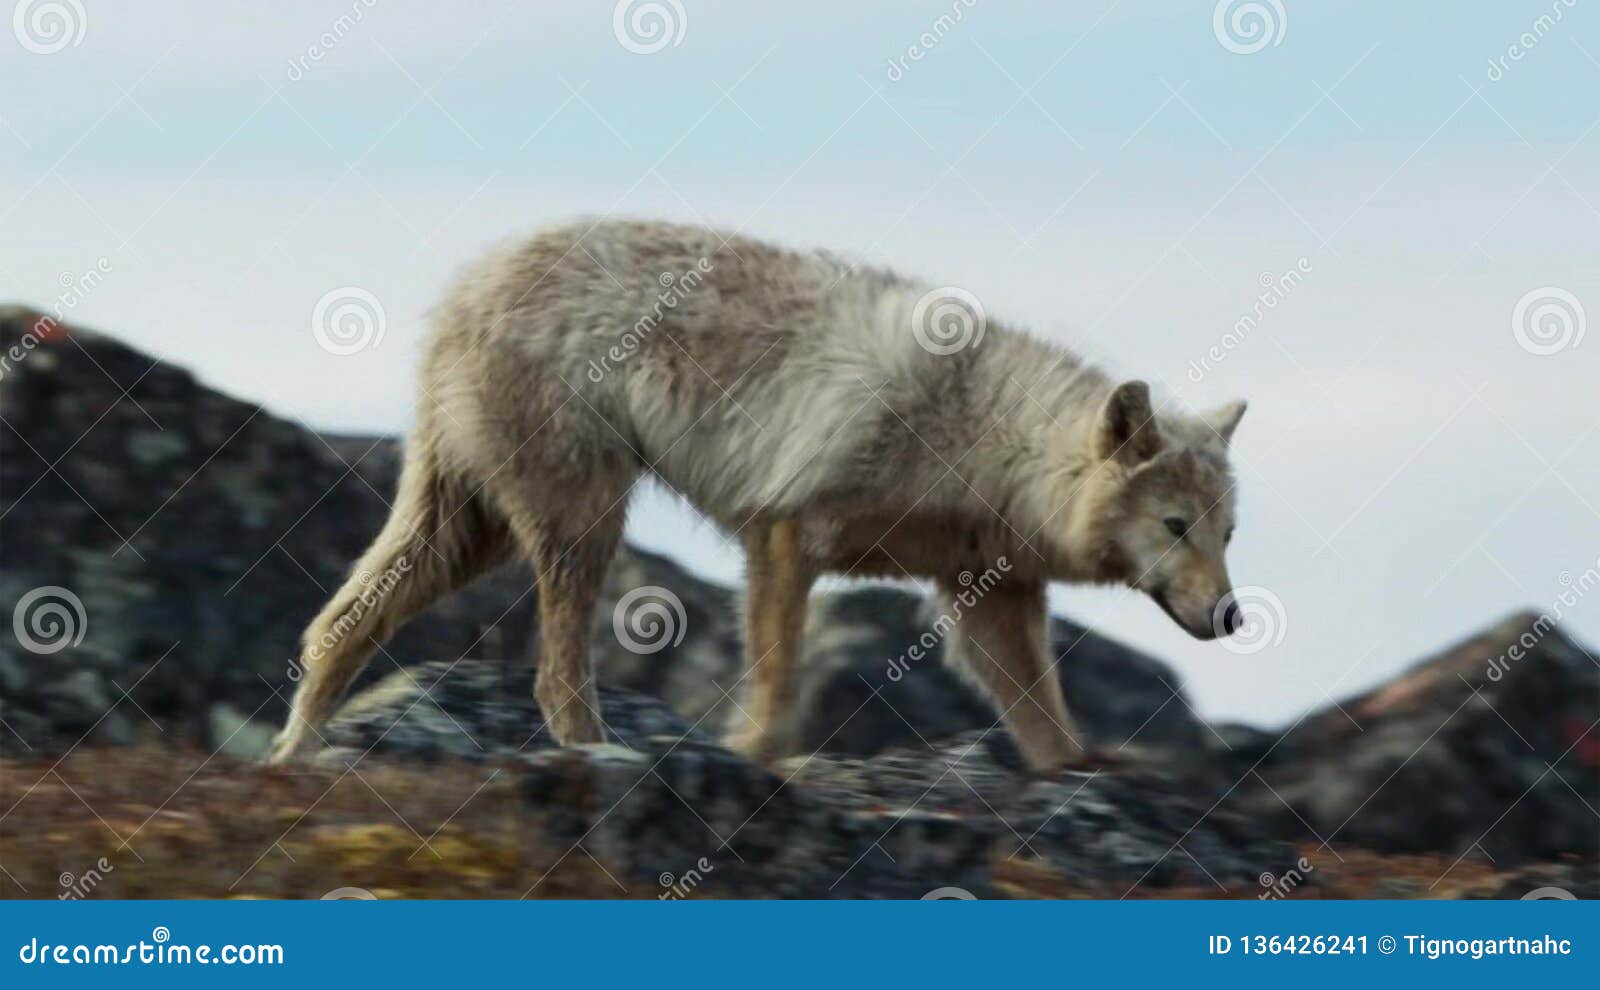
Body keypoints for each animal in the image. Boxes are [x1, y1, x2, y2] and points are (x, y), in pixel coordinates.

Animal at [266, 219, 1248, 771]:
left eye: (1226, 532)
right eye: (1175, 525)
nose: (1234, 616)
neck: (987, 440)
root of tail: (471, 277)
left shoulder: (990, 593)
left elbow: (1045, 721)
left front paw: (1083, 769)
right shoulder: (785, 530)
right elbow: (776, 678)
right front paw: (754, 755)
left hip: (467, 525)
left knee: (337, 624)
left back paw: (294, 754)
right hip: (583, 517)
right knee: (552, 669)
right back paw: (591, 747)